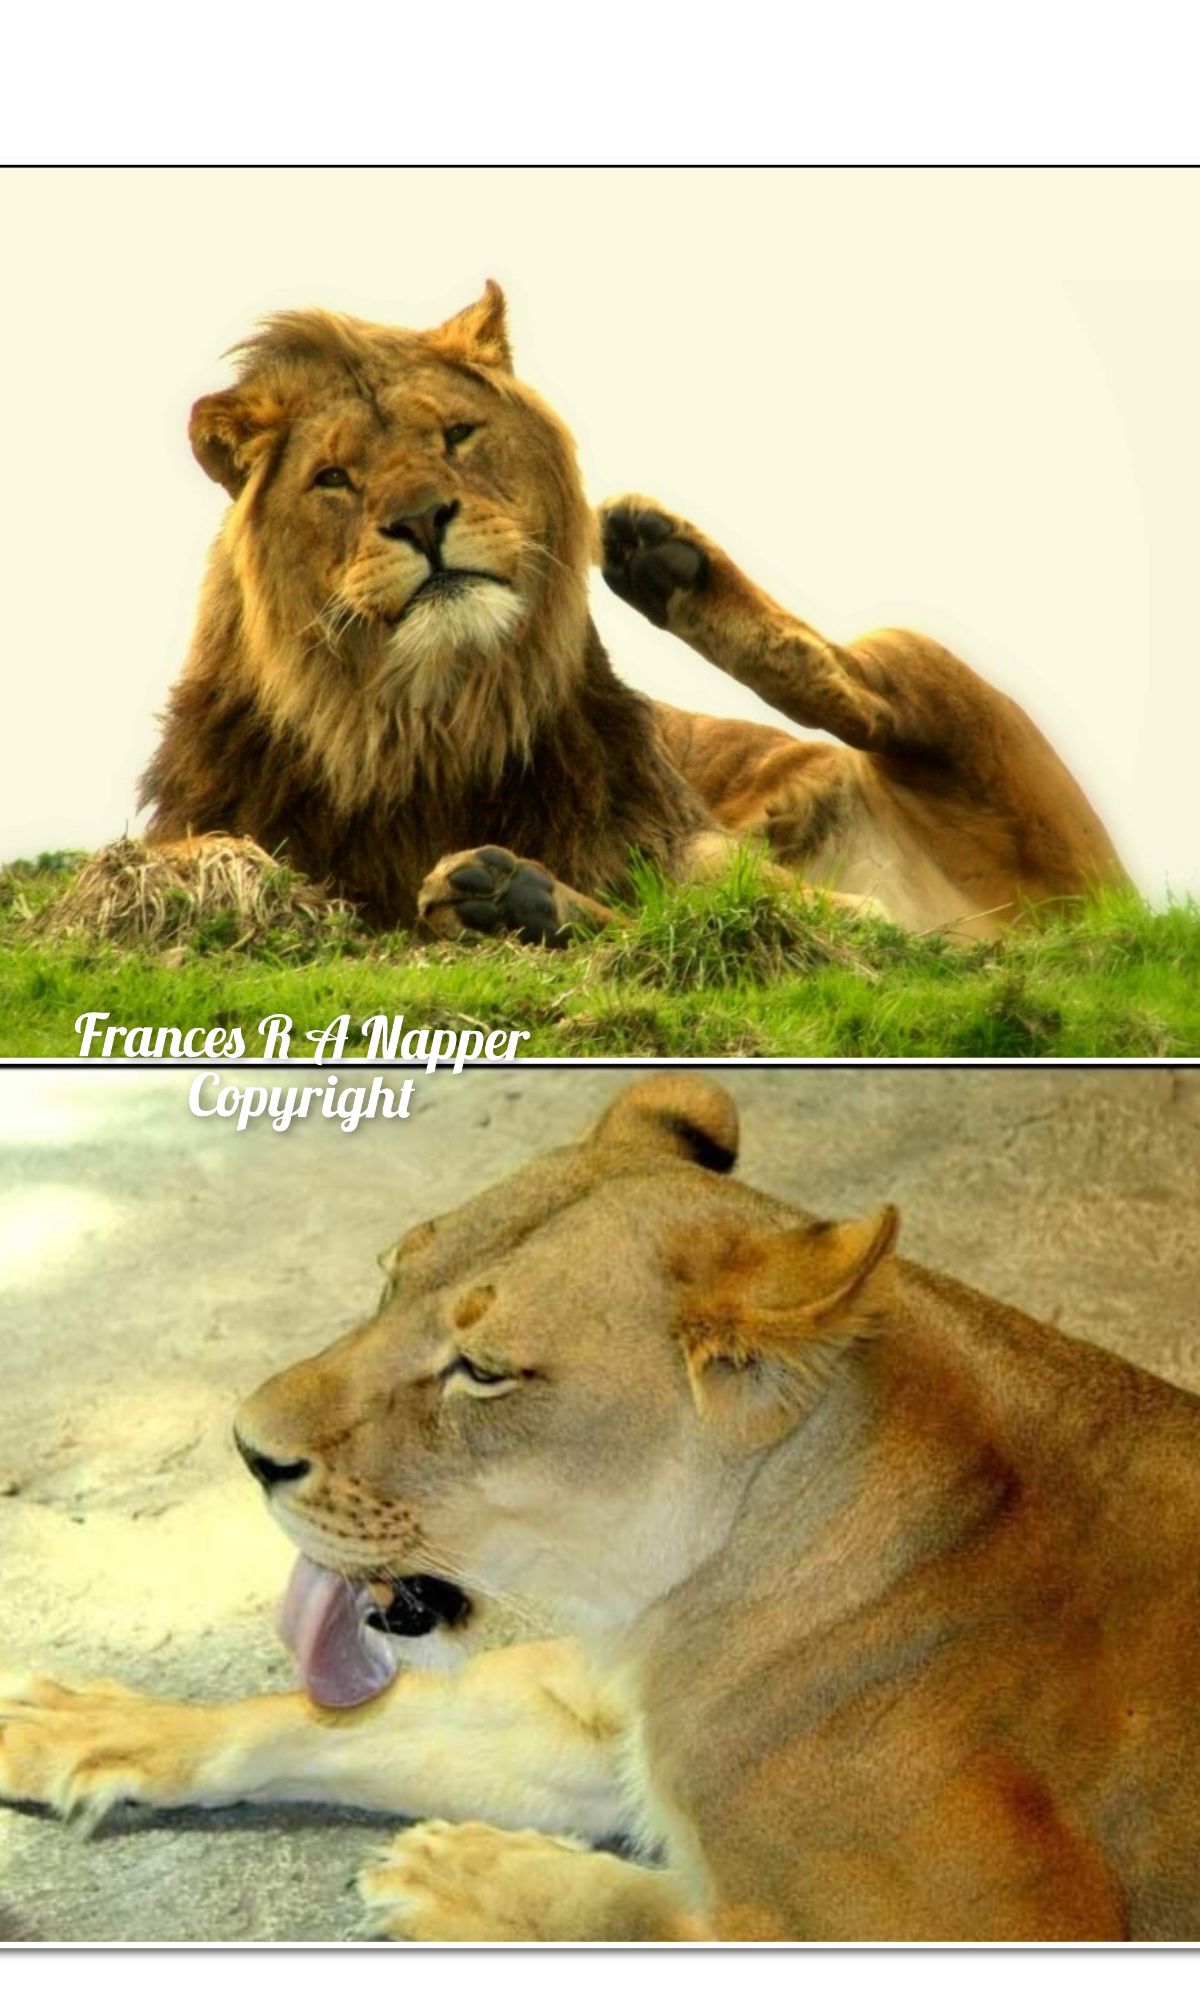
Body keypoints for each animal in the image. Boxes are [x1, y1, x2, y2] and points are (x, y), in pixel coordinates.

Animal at [3, 1077, 1198, 1942]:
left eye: (483, 1372)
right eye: (391, 1274)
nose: (249, 1449)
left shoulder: (1003, 1920)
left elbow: (643, 1918)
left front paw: (460, 1871)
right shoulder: (601, 1713)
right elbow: (328, 1713)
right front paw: (81, 1722)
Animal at [139, 284, 1127, 944]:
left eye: (457, 435)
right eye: (334, 479)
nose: (421, 519)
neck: (421, 731)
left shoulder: (673, 828)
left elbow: (725, 888)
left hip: (963, 710)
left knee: (871, 698)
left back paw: (662, 561)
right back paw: (509, 897)